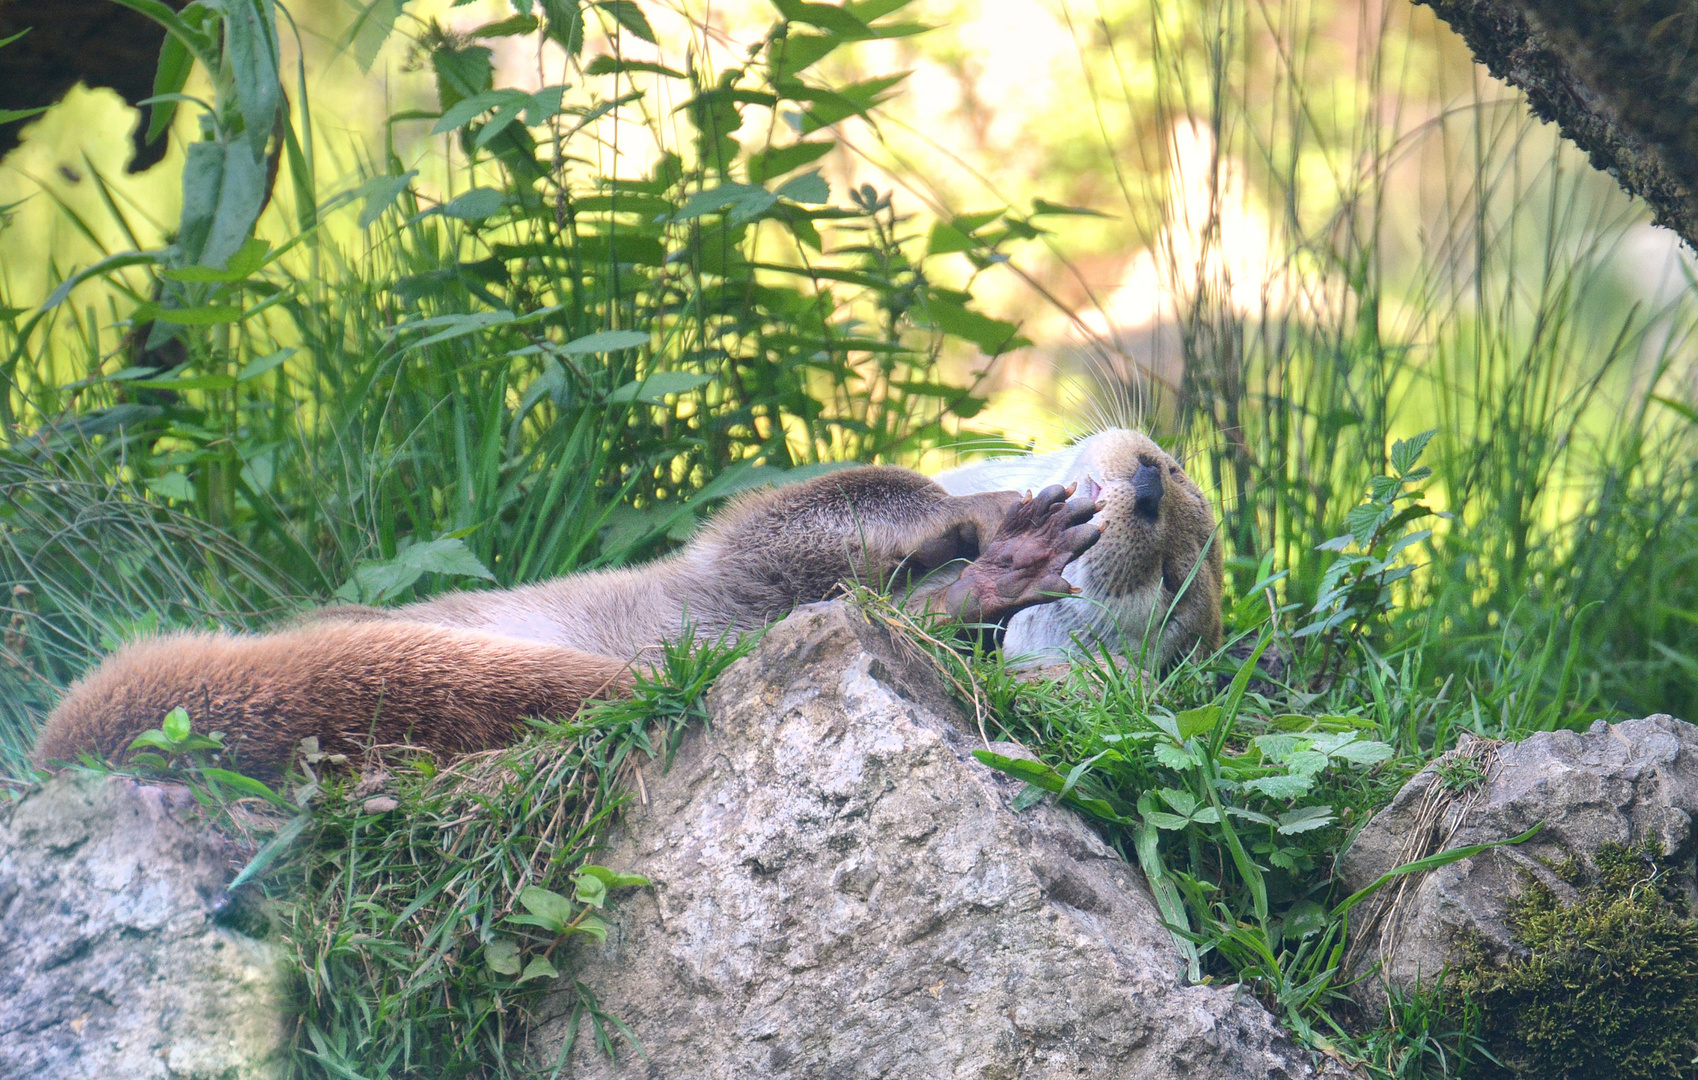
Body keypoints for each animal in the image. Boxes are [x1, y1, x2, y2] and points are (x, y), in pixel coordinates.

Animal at [31, 427, 1221, 779]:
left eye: (1171, 594)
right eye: (1176, 471)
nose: (1150, 492)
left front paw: (990, 576)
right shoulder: (723, 563)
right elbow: (845, 498)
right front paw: (990, 529)